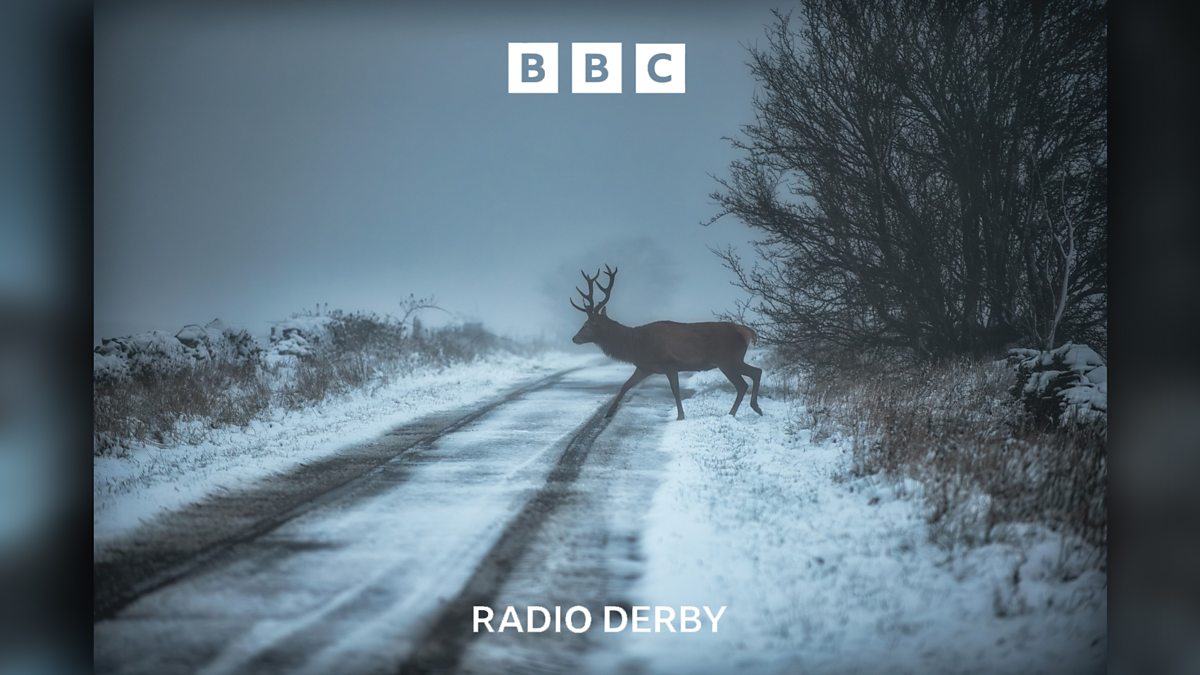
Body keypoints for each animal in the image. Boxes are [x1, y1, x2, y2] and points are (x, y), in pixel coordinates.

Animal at [570, 264, 764, 421]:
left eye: (586, 325)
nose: (574, 338)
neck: (637, 345)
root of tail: (746, 331)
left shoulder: (670, 363)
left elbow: (675, 391)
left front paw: (680, 416)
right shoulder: (644, 367)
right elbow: (625, 386)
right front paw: (609, 413)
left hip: (727, 359)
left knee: (743, 384)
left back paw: (733, 413)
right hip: (734, 360)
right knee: (756, 372)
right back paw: (756, 408)